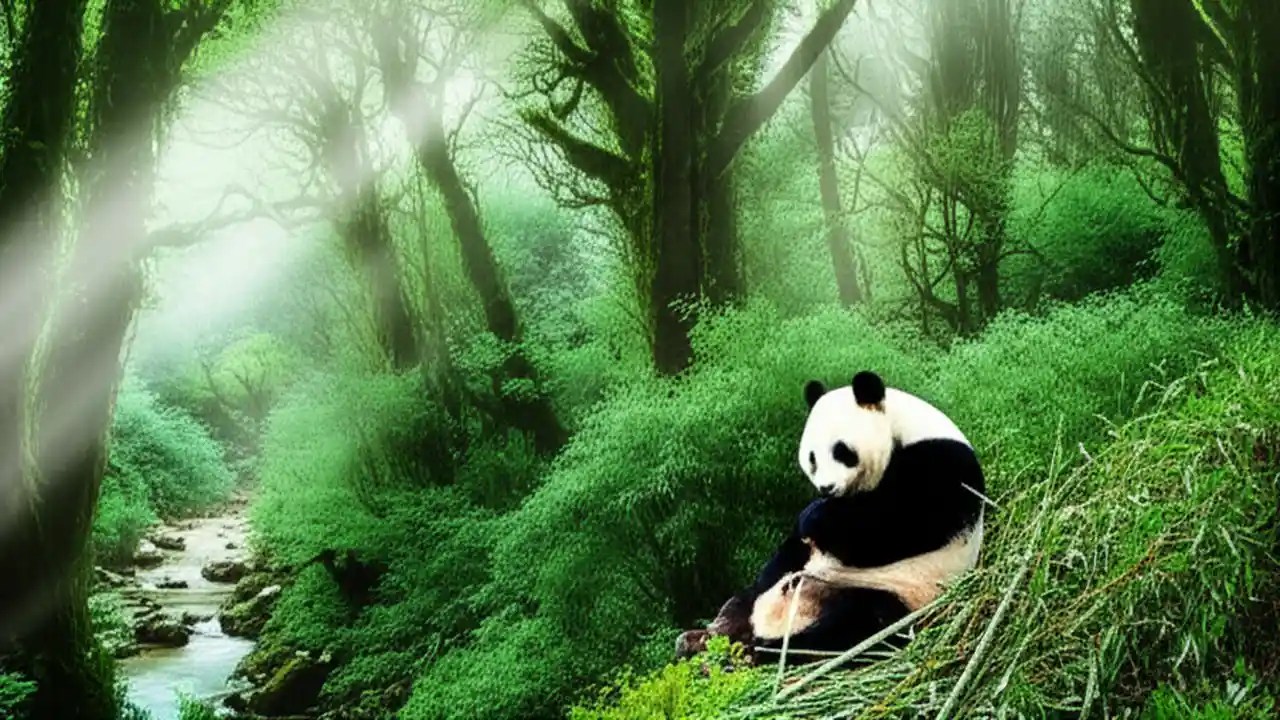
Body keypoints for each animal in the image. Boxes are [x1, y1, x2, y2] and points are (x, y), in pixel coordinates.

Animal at [675, 370, 986, 665]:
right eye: (812, 457)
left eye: (841, 451)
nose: (826, 488)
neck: (902, 427)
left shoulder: (943, 463)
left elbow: (898, 522)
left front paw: (815, 515)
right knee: (759, 587)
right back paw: (710, 637)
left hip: (900, 592)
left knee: (856, 625)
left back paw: (769, 649)